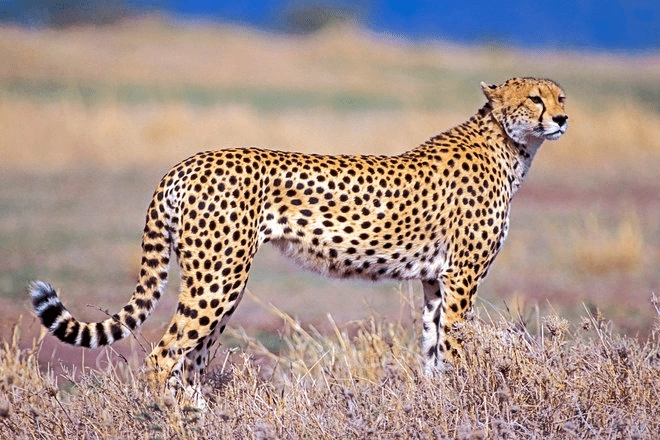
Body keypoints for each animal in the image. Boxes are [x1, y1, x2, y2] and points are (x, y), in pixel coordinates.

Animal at [30, 77, 567, 400]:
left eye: (561, 97)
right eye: (535, 98)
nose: (562, 119)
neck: (510, 145)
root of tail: (186, 162)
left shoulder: (436, 281)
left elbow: (434, 349)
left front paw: (437, 400)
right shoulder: (461, 280)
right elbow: (457, 348)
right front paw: (462, 400)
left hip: (215, 282)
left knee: (191, 359)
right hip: (219, 278)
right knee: (166, 356)